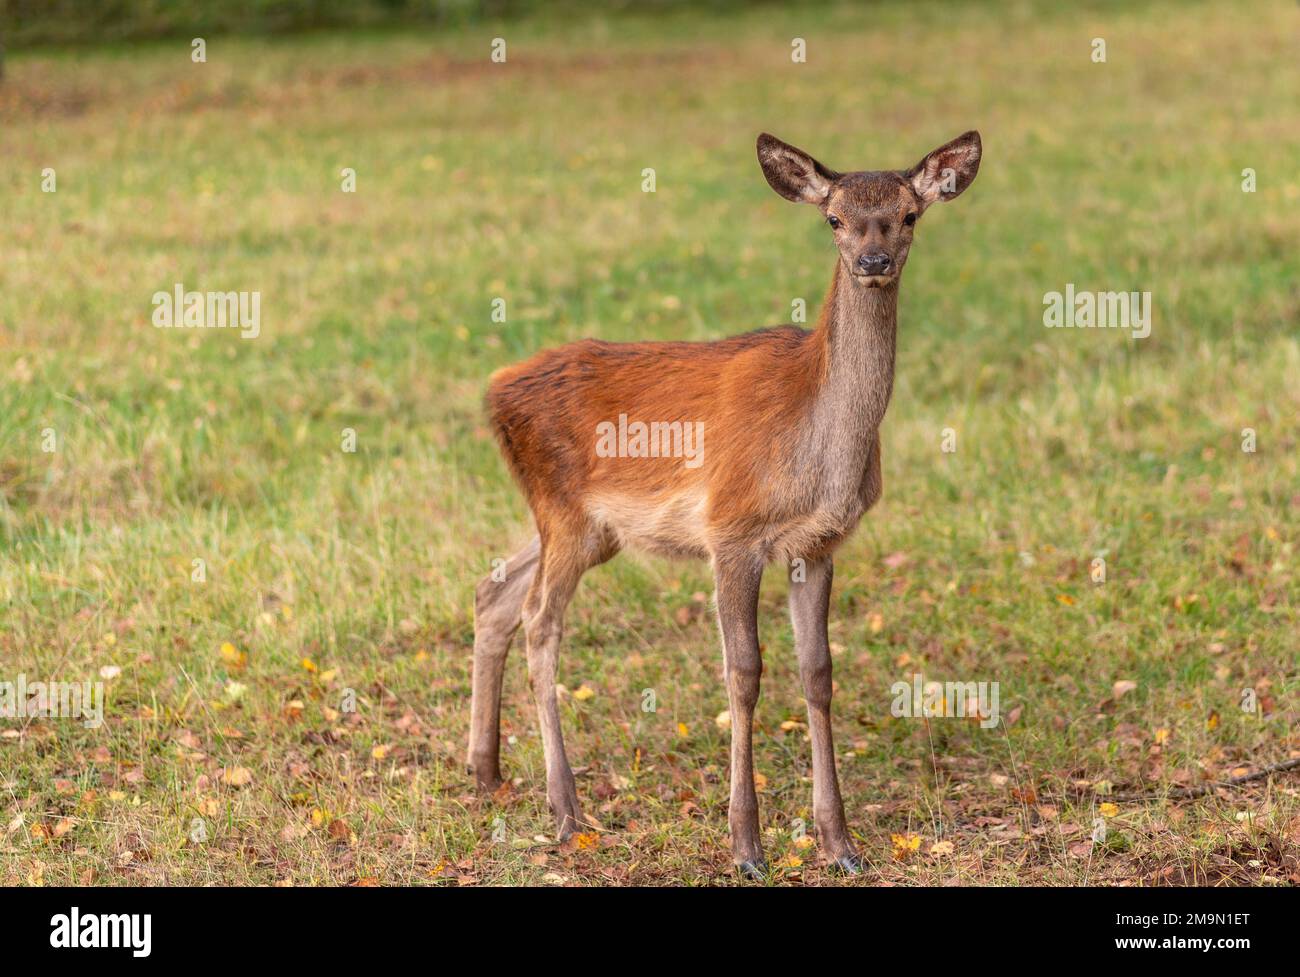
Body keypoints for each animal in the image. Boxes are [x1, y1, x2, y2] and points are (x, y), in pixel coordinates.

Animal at [468, 130, 982, 878]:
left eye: (908, 215)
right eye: (834, 219)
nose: (873, 261)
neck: (821, 450)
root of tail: (494, 391)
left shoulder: (818, 543)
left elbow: (818, 671)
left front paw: (841, 843)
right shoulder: (732, 531)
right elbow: (744, 672)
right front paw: (746, 846)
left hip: (587, 527)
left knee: (494, 591)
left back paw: (486, 771)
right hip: (563, 508)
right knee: (540, 619)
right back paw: (565, 810)